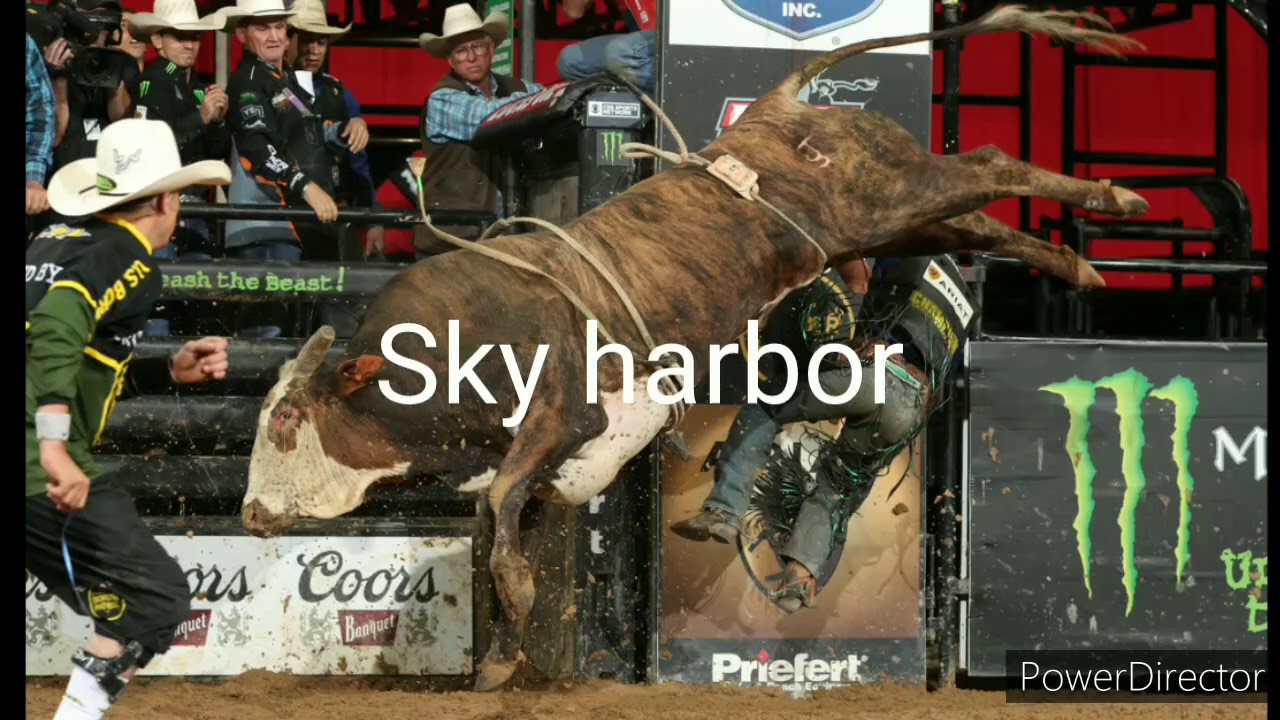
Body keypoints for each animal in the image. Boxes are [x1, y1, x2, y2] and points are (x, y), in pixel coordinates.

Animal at [240, 5, 1147, 692]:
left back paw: (1116, 198)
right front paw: (500, 660)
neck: (434, 358)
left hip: (885, 196)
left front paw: (505, 644)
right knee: (977, 218)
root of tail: (779, 107)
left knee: (987, 163)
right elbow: (502, 531)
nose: (248, 513)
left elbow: (500, 525)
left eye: (284, 422)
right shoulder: (535, 467)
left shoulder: (562, 416)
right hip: (892, 220)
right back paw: (1080, 259)